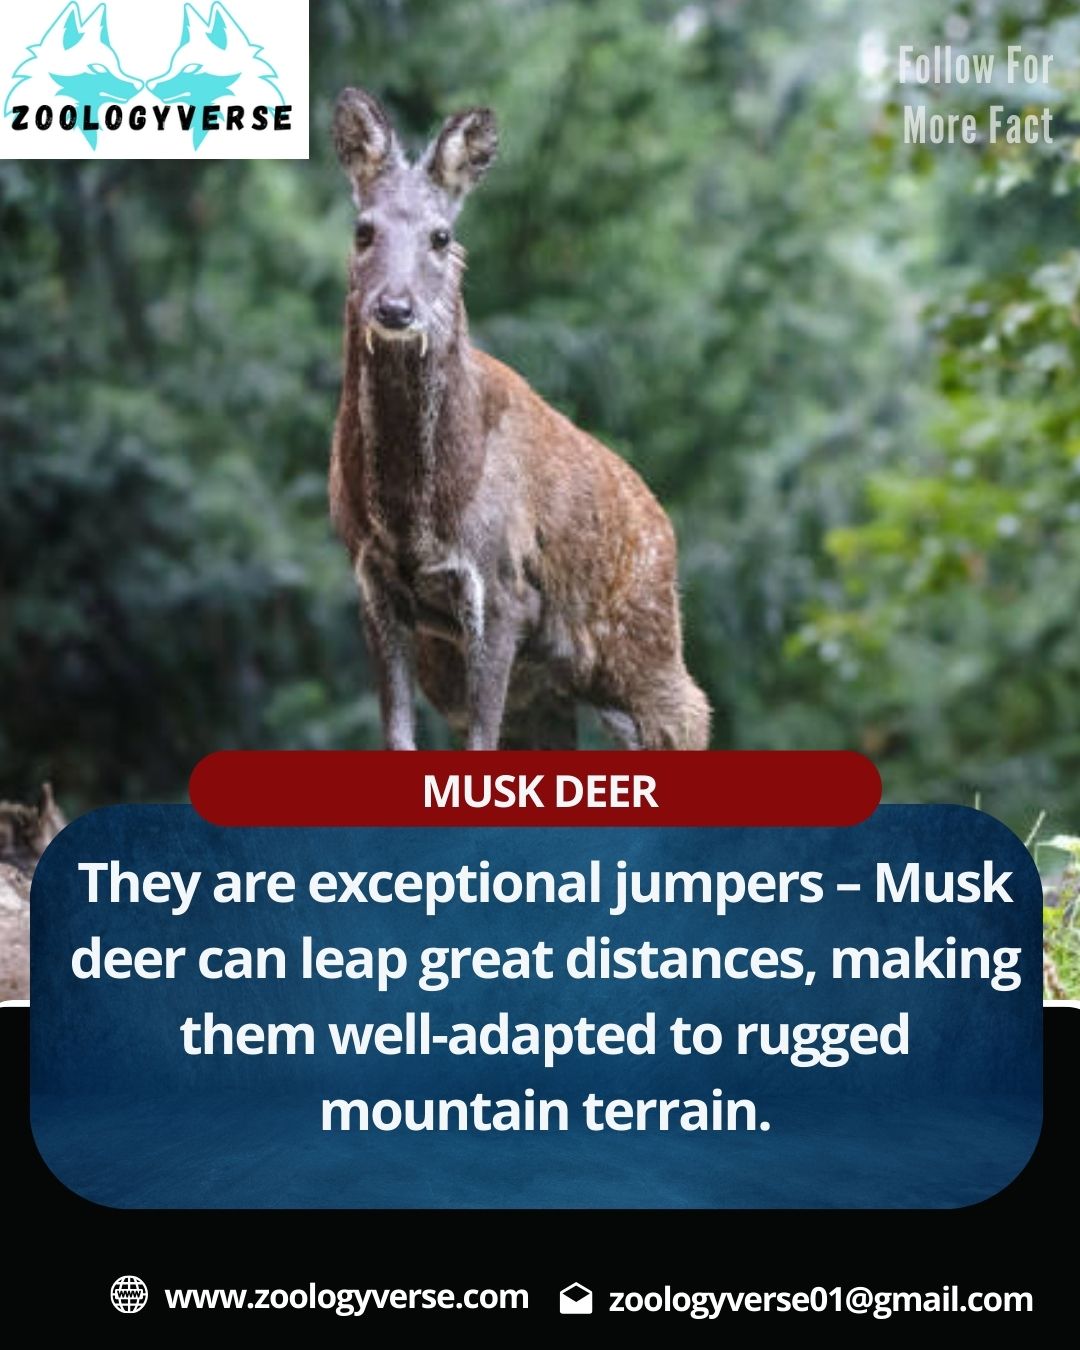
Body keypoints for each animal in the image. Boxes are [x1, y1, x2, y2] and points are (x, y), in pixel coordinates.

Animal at [328, 89, 710, 752]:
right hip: (523, 683)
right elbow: (400, 739)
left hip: (646, 639)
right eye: (363, 230)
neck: (414, 516)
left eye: (441, 235)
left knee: (693, 714)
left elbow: (479, 743)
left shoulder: (500, 582)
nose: (395, 308)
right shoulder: (375, 584)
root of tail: (660, 519)